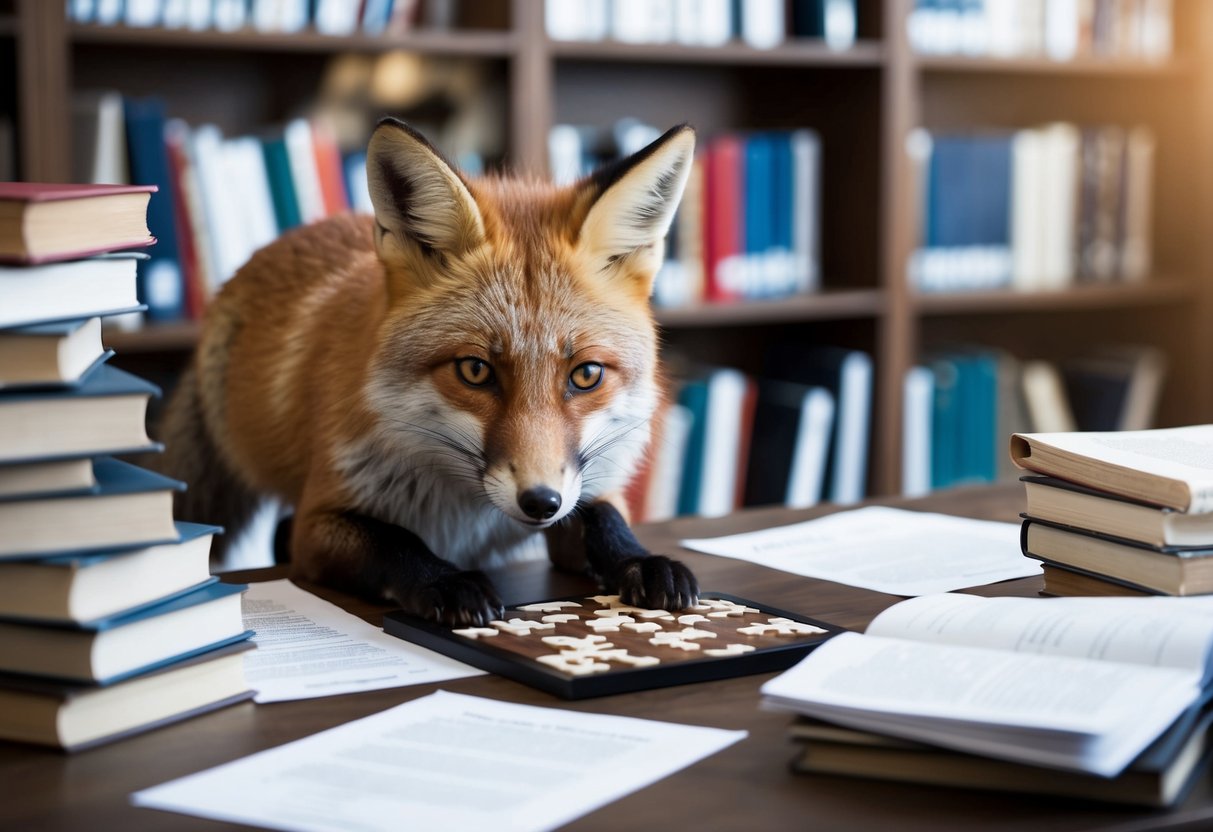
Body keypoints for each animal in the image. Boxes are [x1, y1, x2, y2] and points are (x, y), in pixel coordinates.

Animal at [158, 118, 700, 627]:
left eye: (586, 375)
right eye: (475, 371)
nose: (539, 503)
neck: (468, 518)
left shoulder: (579, 493)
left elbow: (602, 519)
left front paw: (643, 561)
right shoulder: (318, 523)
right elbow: (393, 541)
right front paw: (445, 581)